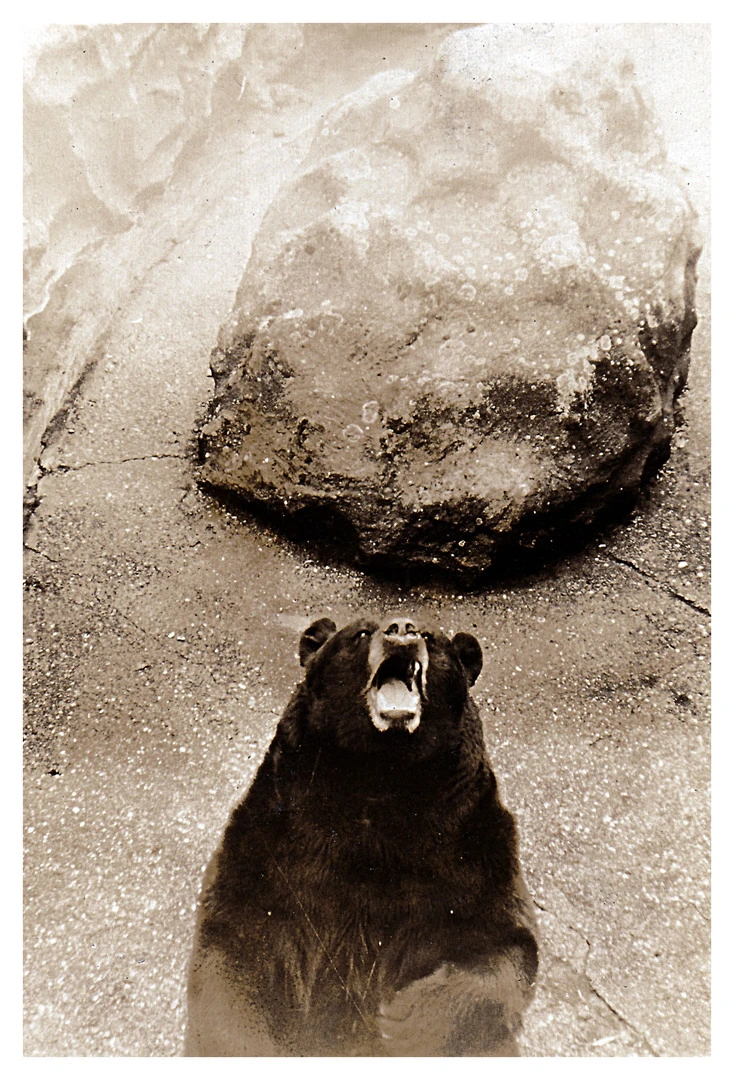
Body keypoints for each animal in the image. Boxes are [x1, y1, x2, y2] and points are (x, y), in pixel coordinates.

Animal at [185, 614, 539, 1056]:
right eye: (361, 633)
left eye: (430, 637)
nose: (402, 628)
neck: (379, 774)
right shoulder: (276, 838)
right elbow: (236, 946)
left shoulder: (469, 845)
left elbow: (503, 942)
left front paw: (402, 1019)